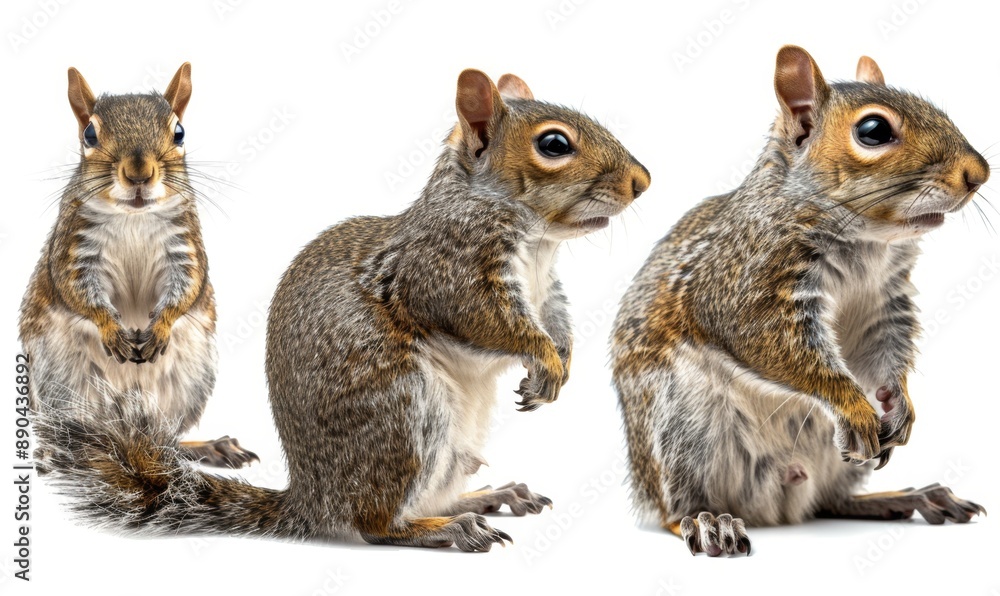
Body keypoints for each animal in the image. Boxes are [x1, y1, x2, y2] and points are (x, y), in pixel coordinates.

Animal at [21, 63, 257, 469]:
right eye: (89, 134)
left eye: (179, 132)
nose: (139, 174)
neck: (134, 217)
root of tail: (126, 435)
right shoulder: (74, 248)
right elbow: (75, 289)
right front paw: (111, 328)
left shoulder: (184, 248)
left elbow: (187, 286)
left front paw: (160, 327)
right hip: (59, 385)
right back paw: (60, 453)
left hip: (187, 385)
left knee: (166, 440)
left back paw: (205, 448)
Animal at [610, 46, 989, 556]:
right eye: (874, 131)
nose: (978, 174)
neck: (869, 243)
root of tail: (780, 502)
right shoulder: (745, 282)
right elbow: (777, 344)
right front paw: (852, 403)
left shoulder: (885, 303)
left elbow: (886, 349)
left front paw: (899, 401)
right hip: (682, 429)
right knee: (676, 507)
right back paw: (708, 520)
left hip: (838, 463)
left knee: (831, 502)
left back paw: (904, 497)